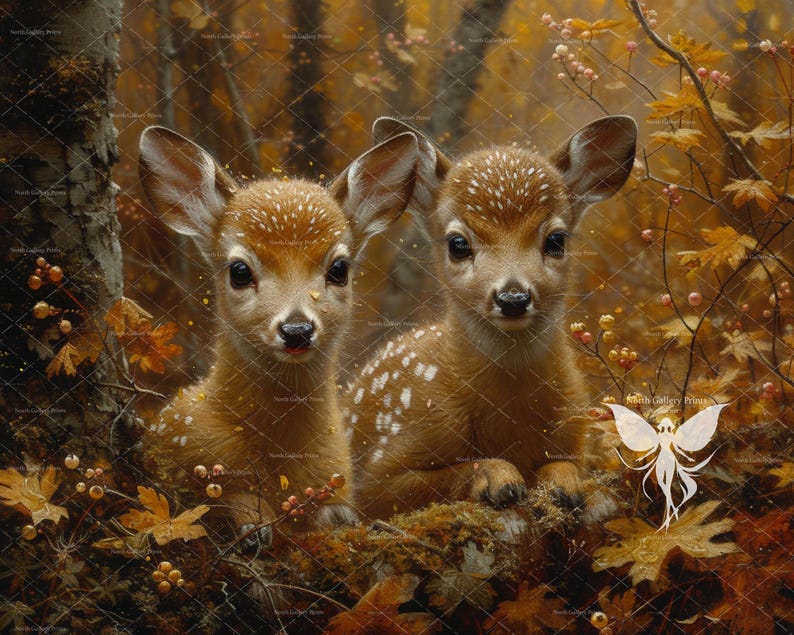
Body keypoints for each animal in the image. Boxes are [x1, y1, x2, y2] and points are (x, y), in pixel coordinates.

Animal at [342, 115, 637, 519]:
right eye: (458, 244)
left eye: (556, 239)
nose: (513, 297)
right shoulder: (380, 466)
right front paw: (499, 479)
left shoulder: (574, 433)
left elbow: (567, 464)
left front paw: (564, 485)